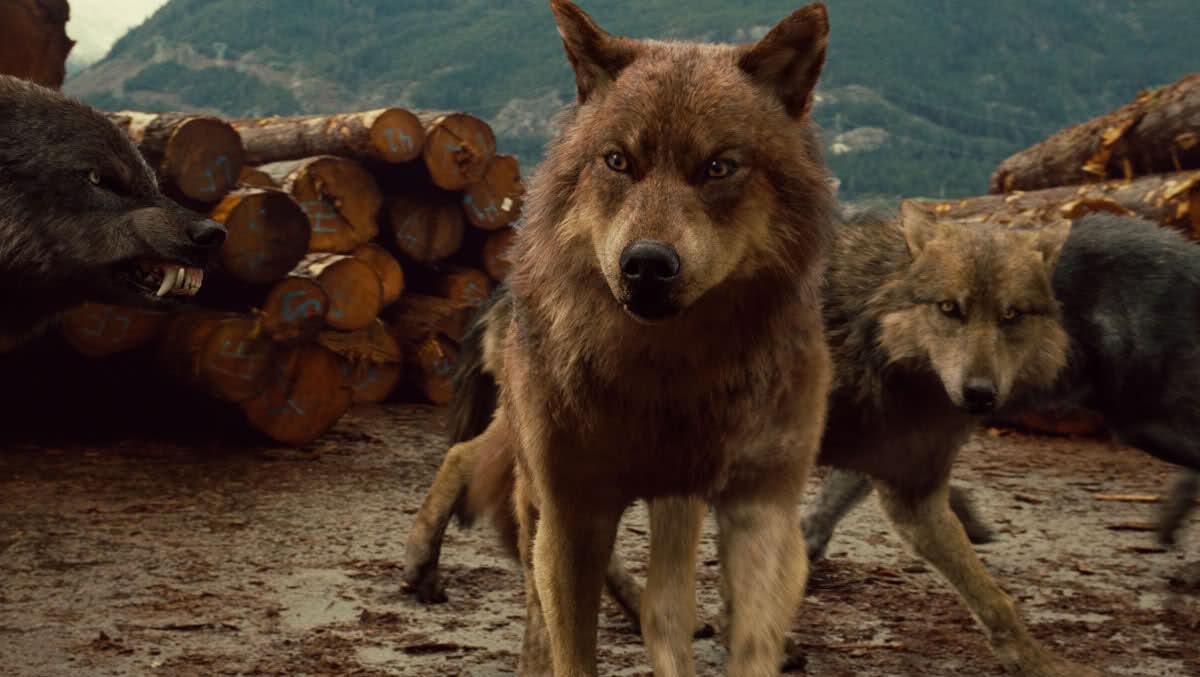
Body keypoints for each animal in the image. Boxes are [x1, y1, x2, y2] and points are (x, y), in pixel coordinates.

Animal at [408, 1, 836, 674]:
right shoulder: (573, 507)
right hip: (537, 465)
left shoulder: (761, 508)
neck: (669, 374)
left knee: (659, 600)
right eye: (617, 162)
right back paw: (426, 566)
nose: (647, 265)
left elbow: (737, 636)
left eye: (718, 167)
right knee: (477, 473)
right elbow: (569, 642)